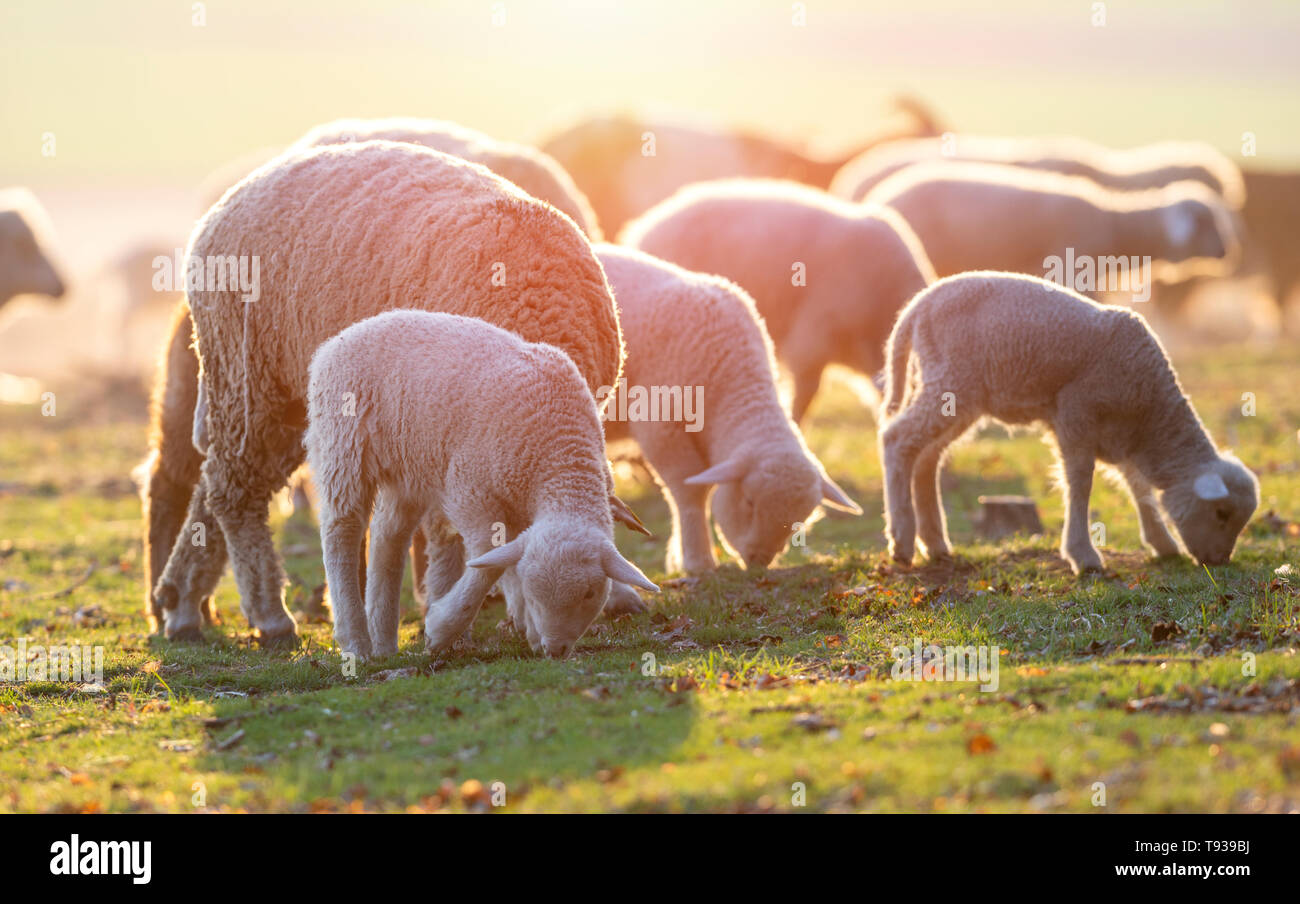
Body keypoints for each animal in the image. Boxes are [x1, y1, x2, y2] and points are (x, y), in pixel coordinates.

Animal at [150, 140, 629, 644]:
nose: (550, 645)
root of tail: (227, 202)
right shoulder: (451, 441)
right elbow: (447, 534)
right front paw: (442, 609)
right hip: (249, 377)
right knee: (233, 491)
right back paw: (268, 614)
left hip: (272, 395)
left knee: (213, 482)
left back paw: (180, 602)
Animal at [306, 310, 656, 659]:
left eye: (590, 593)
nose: (555, 650)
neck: (561, 460)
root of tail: (342, 338)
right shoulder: (469, 489)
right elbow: (489, 559)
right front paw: (442, 628)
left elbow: (507, 556)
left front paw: (527, 628)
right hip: (345, 449)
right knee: (342, 532)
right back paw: (356, 644)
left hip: (408, 468)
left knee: (388, 536)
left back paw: (383, 643)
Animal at [592, 245, 860, 608]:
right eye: (748, 502)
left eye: (798, 524)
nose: (759, 560)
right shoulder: (662, 426)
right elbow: (690, 491)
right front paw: (698, 561)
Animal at [878, 271, 1259, 575]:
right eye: (1221, 513)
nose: (1218, 561)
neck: (1151, 411)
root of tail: (916, 307)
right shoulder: (1075, 414)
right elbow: (1080, 483)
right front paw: (1083, 555)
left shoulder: (1123, 436)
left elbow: (1139, 488)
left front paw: (1162, 543)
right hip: (952, 382)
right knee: (896, 438)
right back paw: (902, 541)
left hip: (955, 394)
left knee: (926, 457)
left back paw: (935, 544)